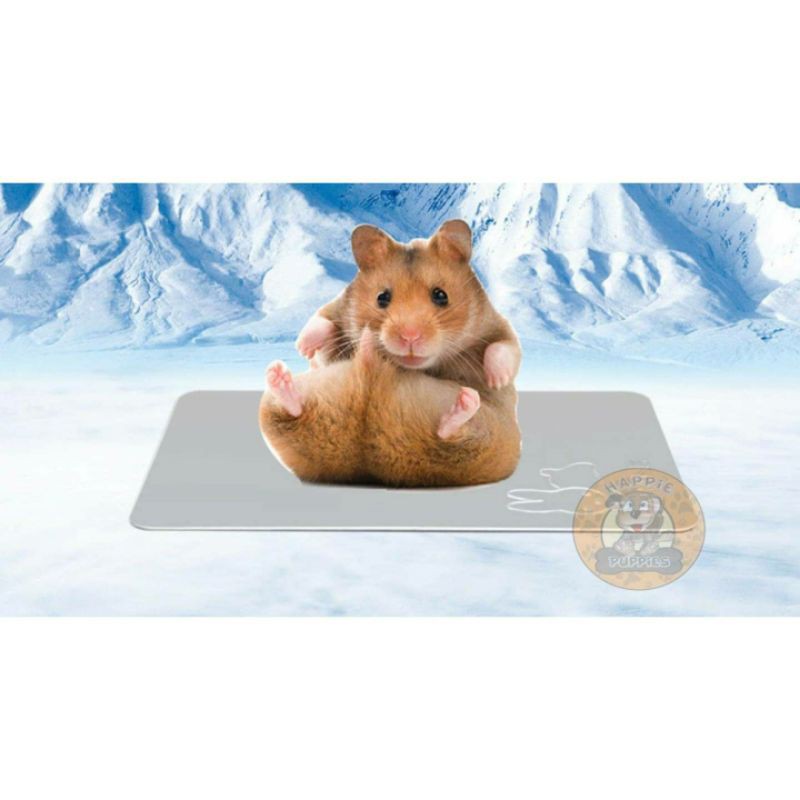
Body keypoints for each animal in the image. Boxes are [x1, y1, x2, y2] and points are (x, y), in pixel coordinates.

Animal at [259, 219, 522, 488]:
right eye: (382, 297)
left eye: (441, 295)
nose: (410, 337)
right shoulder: (337, 311)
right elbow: (322, 323)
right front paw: (303, 347)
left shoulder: (497, 325)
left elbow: (503, 348)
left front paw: (495, 379)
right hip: (277, 413)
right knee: (293, 410)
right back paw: (280, 375)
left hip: (484, 442)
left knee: (451, 435)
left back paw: (466, 400)